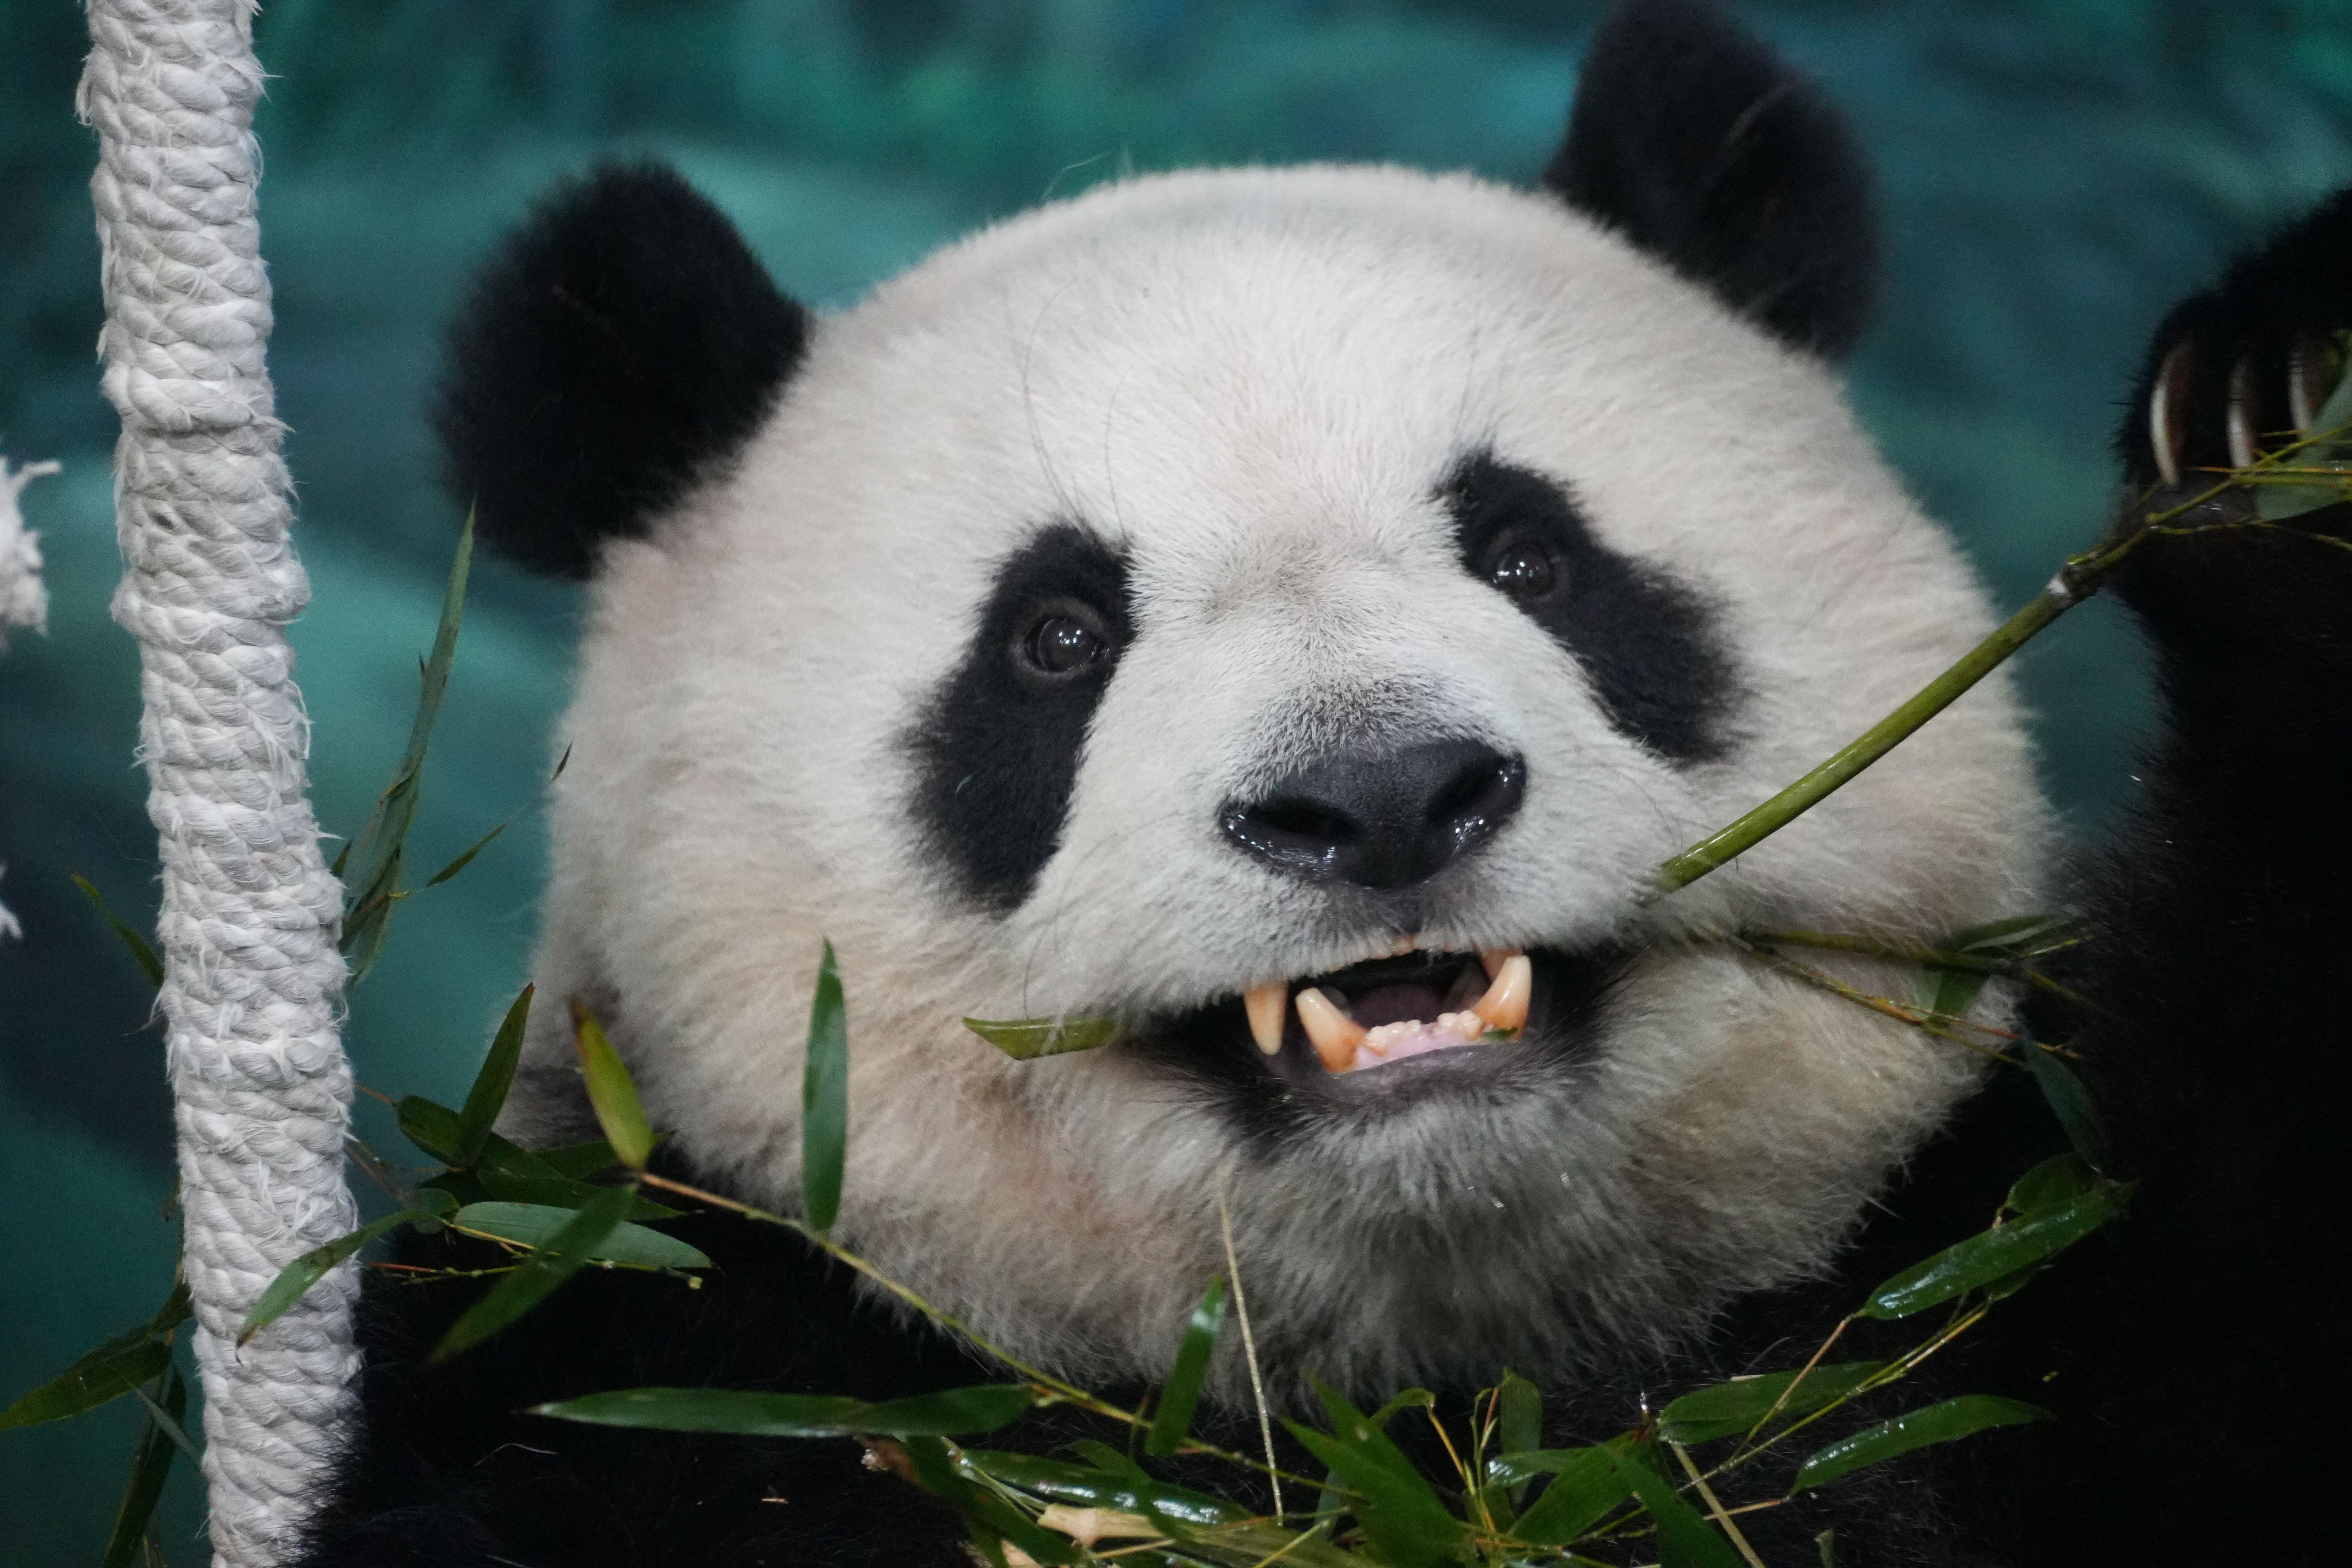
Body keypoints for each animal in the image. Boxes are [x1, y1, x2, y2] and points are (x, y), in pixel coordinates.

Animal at [296, 1, 2349, 1564]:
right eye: (1054, 637)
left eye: (1529, 556)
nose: (1379, 800)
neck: (1416, 1406)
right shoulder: (657, 1341)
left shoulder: (1966, 1286)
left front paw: (2285, 406)